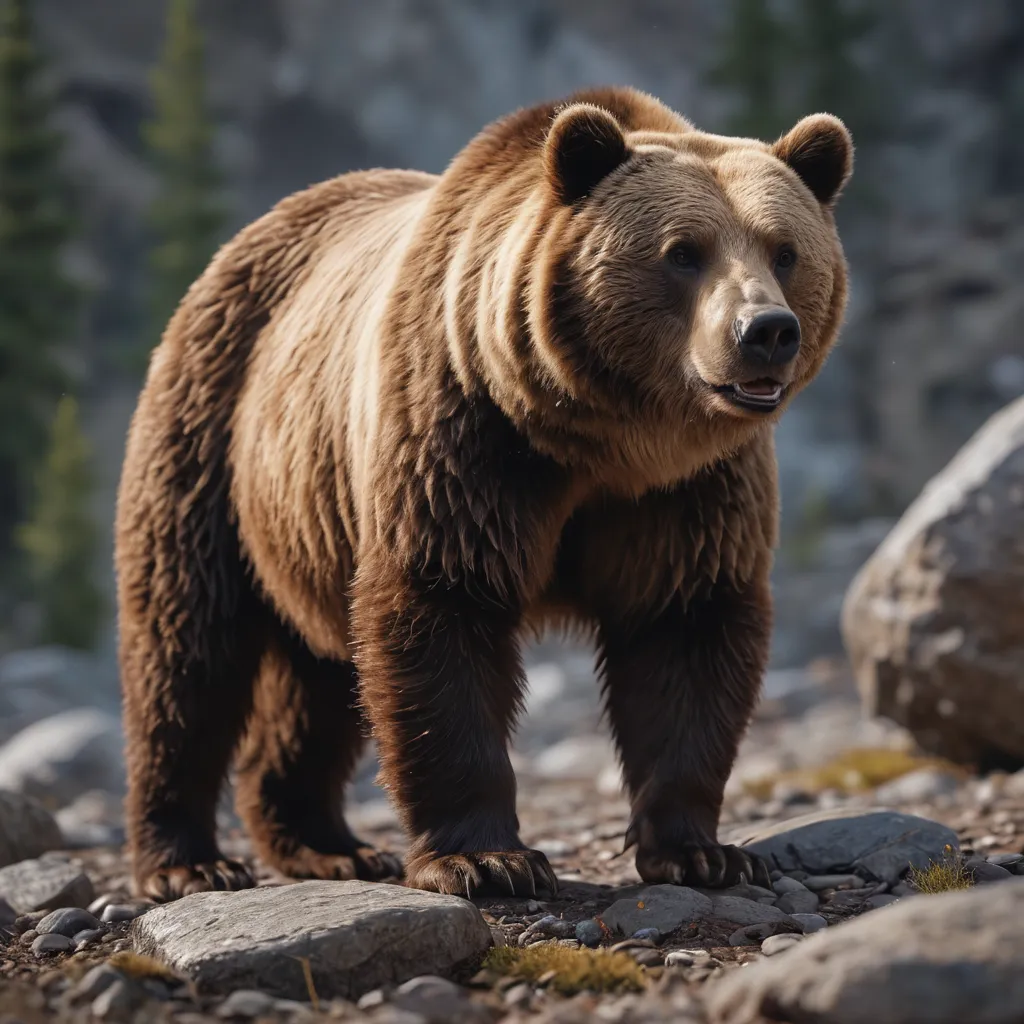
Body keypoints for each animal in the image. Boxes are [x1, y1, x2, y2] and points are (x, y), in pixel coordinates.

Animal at [115, 86, 852, 902]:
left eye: (785, 250)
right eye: (683, 252)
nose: (766, 331)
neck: (602, 439)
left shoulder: (688, 492)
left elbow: (687, 626)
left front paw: (703, 851)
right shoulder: (466, 436)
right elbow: (443, 609)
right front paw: (487, 859)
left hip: (308, 523)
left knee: (320, 677)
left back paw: (326, 845)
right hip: (211, 434)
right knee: (189, 649)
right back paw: (188, 860)